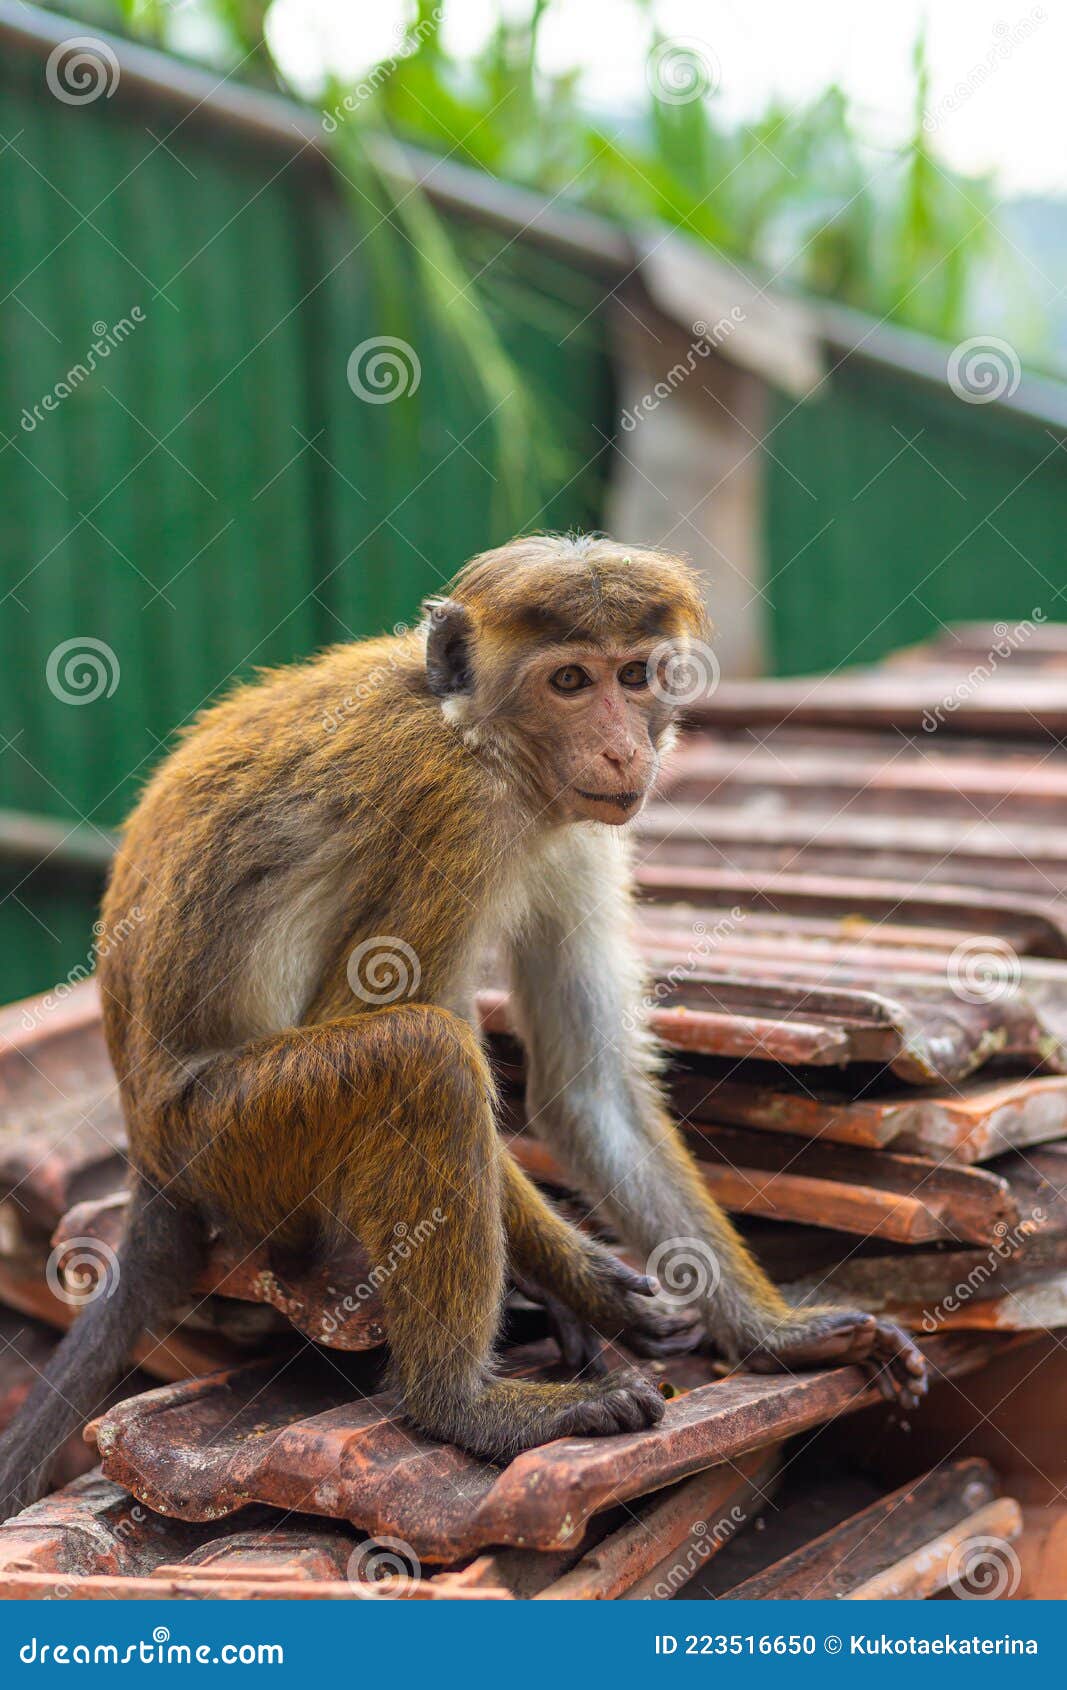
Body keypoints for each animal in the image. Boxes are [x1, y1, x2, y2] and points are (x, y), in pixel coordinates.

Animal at [0, 534, 925, 1517]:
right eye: (568, 681)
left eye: (633, 675)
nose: (619, 746)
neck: (474, 733)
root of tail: (147, 1160)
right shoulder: (457, 810)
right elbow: (379, 1019)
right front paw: (585, 1282)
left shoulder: (580, 826)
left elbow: (587, 1091)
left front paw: (774, 1335)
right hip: (230, 1143)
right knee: (420, 1057)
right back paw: (463, 1407)